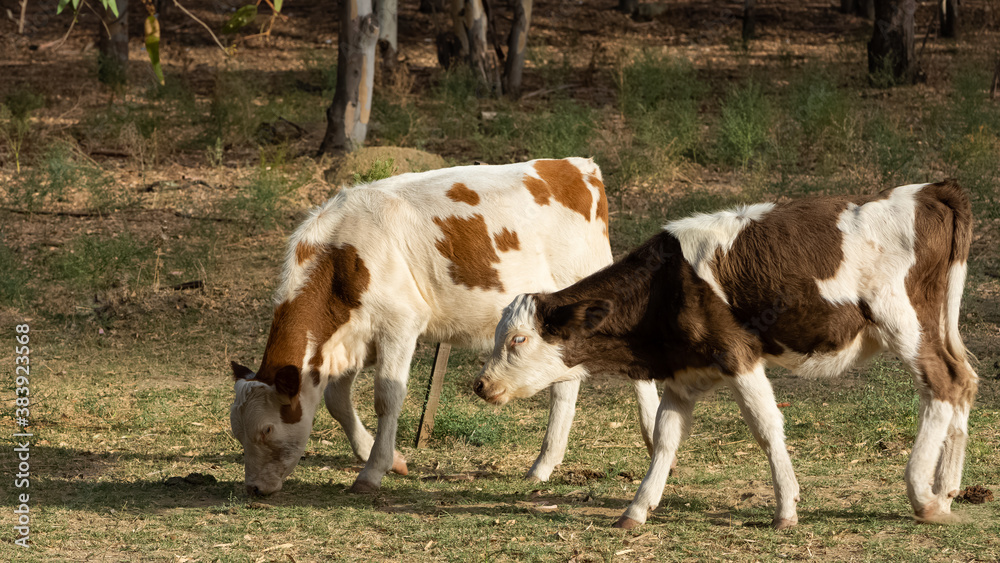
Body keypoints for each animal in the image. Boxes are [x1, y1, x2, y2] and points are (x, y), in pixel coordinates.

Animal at [229, 157, 661, 496]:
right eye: (237, 432)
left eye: (266, 431)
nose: (253, 489)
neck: (342, 254)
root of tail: (573, 166)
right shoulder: (350, 337)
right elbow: (337, 399)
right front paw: (386, 457)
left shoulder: (400, 324)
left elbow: (387, 397)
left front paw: (373, 471)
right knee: (565, 382)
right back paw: (544, 464)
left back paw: (649, 437)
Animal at [474, 180, 977, 529]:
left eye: (517, 340)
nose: (481, 384)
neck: (666, 285)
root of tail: (926, 191)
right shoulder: (681, 375)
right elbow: (666, 438)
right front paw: (637, 508)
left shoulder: (739, 355)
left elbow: (767, 428)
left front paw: (786, 509)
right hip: (936, 326)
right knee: (965, 380)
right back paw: (948, 489)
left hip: (903, 322)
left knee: (942, 384)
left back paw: (924, 497)